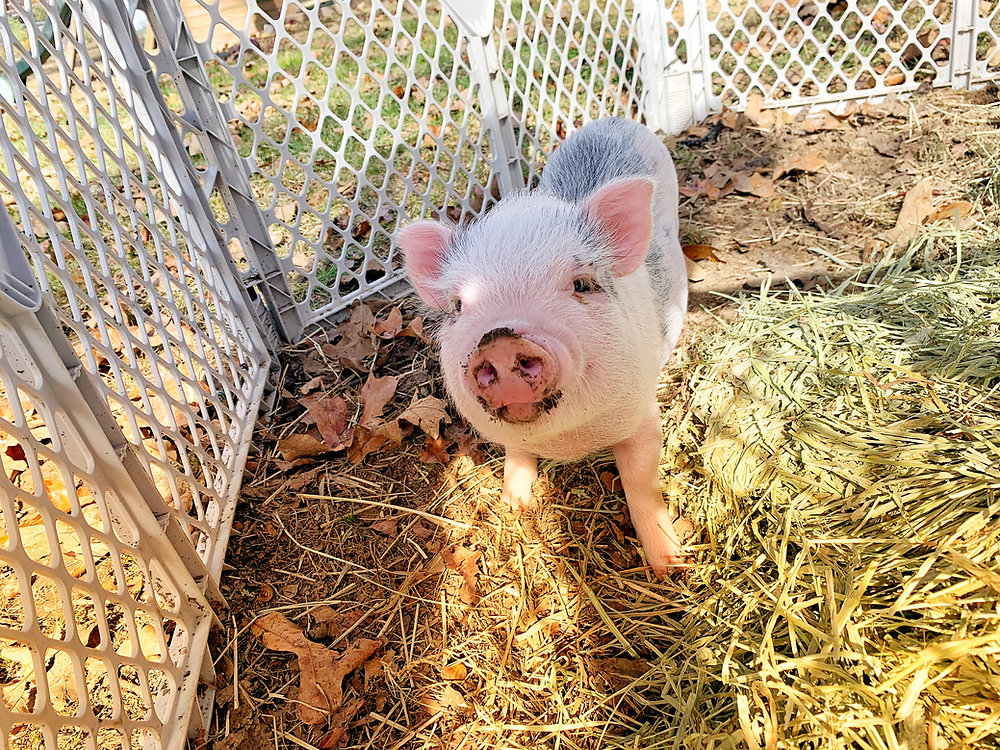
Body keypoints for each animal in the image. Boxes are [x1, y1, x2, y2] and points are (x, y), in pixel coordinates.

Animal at [398, 117, 689, 575]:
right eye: (459, 305)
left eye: (582, 284)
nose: (499, 340)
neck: (564, 441)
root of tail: (616, 120)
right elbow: (516, 454)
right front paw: (513, 505)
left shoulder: (643, 415)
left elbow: (641, 482)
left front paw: (671, 566)